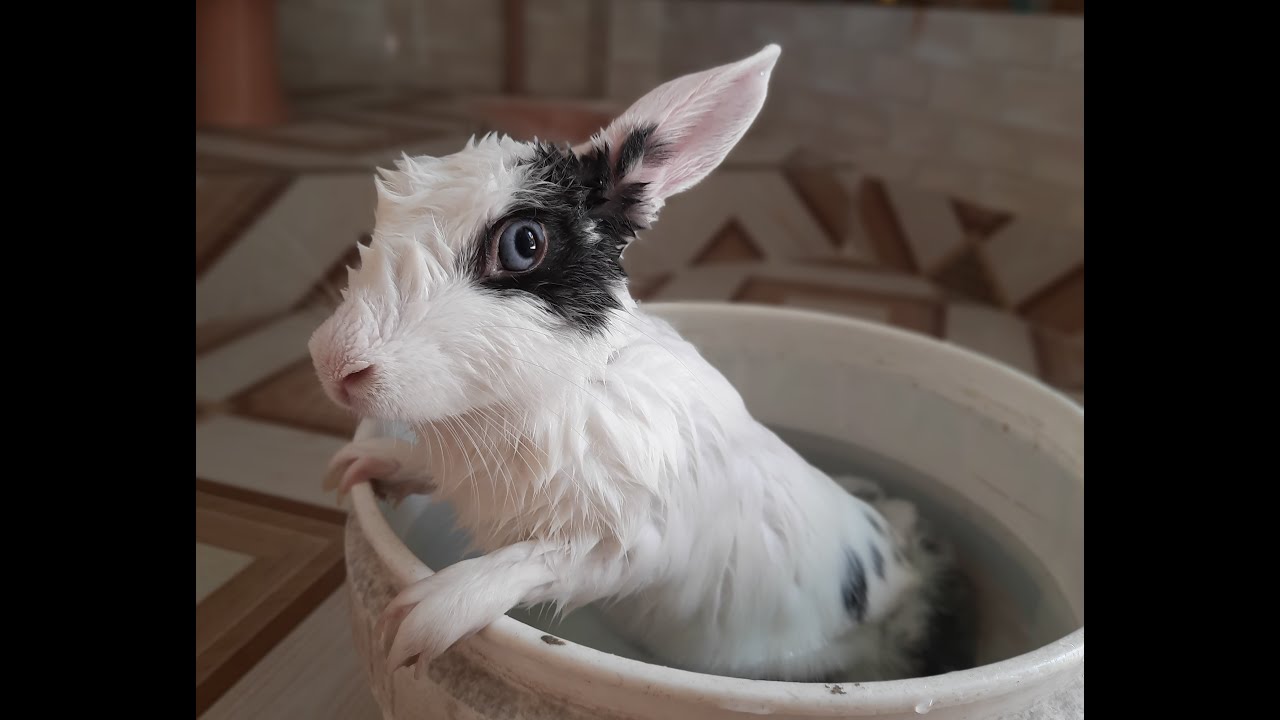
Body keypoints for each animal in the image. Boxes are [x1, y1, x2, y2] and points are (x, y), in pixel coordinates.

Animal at [308, 43, 976, 684]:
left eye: (524, 243)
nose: (334, 365)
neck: (559, 388)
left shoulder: (621, 545)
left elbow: (534, 562)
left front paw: (420, 617)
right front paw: (365, 463)